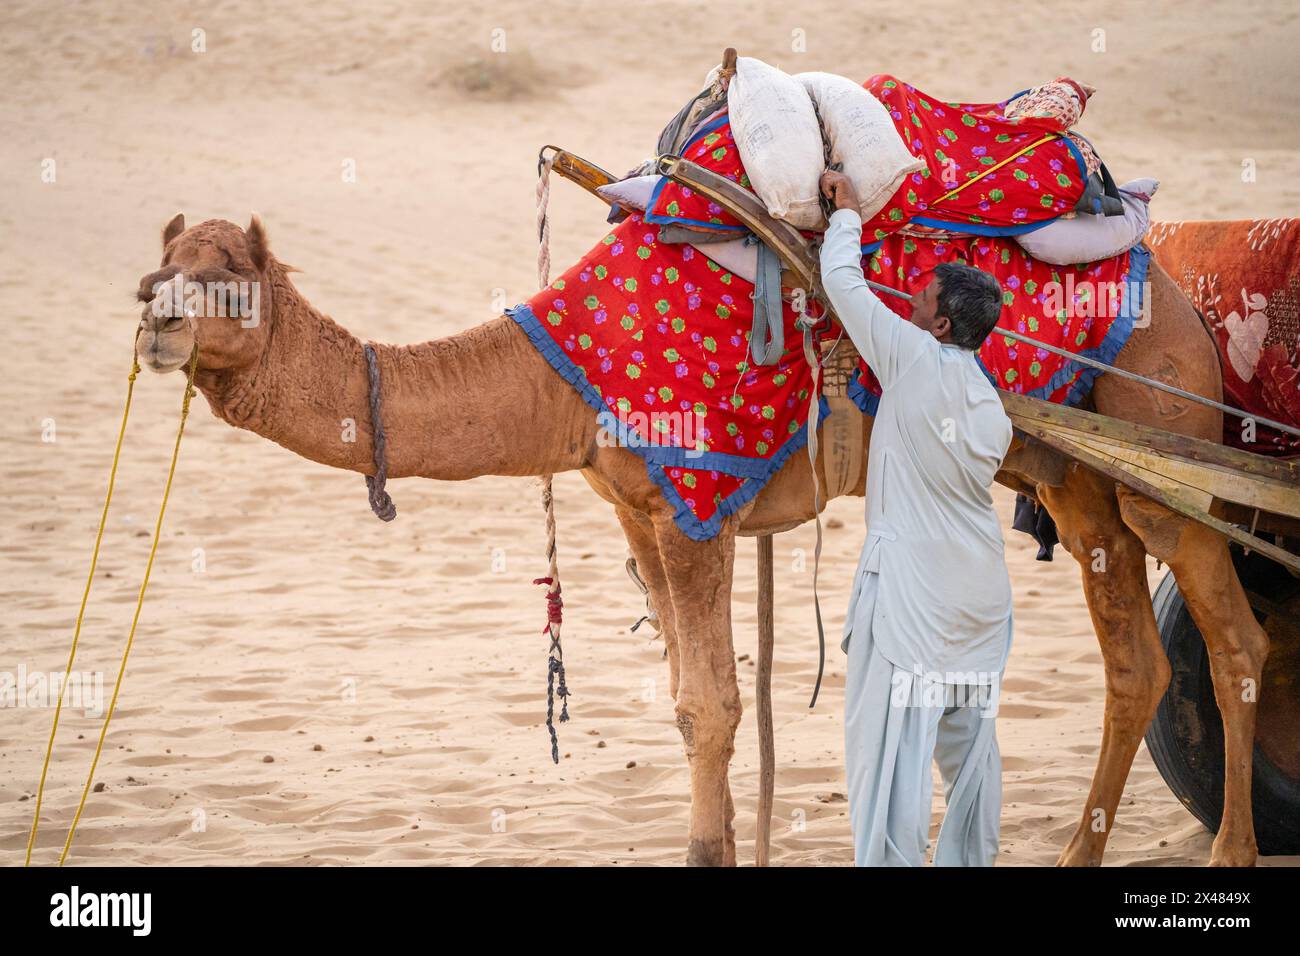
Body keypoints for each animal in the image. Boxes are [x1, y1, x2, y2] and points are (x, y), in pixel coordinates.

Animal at [133, 211, 1268, 867]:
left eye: (228, 279)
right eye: (159, 269)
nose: (153, 323)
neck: (559, 372)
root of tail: (1179, 292)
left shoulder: (696, 501)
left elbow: (711, 704)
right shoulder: (633, 509)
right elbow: (687, 701)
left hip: (1158, 433)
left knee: (1233, 637)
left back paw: (1229, 854)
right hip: (1075, 478)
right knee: (1133, 656)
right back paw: (1080, 855)